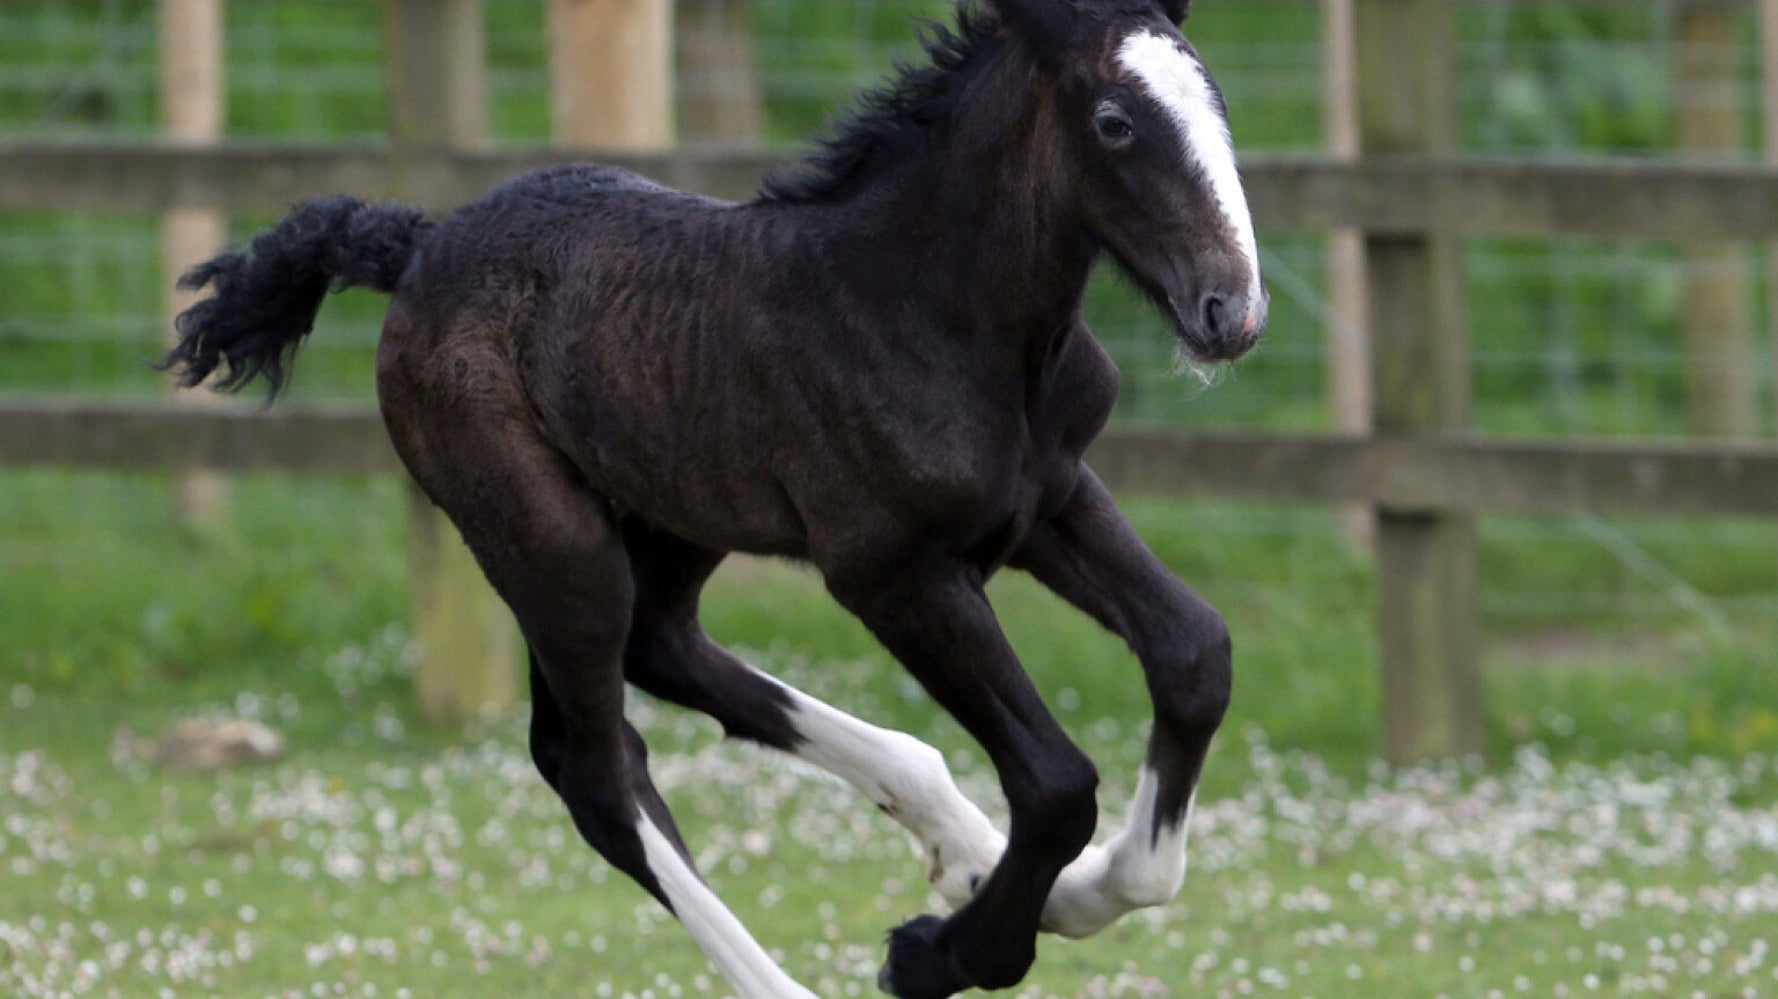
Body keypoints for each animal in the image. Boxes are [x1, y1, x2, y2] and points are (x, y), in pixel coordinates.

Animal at [160, 0, 1265, 995]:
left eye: (1214, 98)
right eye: (1114, 121)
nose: (1231, 310)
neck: (931, 310)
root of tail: (418, 247)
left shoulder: (1051, 498)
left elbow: (1195, 654)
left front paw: (1077, 892)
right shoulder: (892, 571)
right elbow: (1055, 781)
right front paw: (943, 954)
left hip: (674, 514)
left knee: (661, 646)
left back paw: (959, 845)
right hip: (550, 542)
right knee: (598, 770)